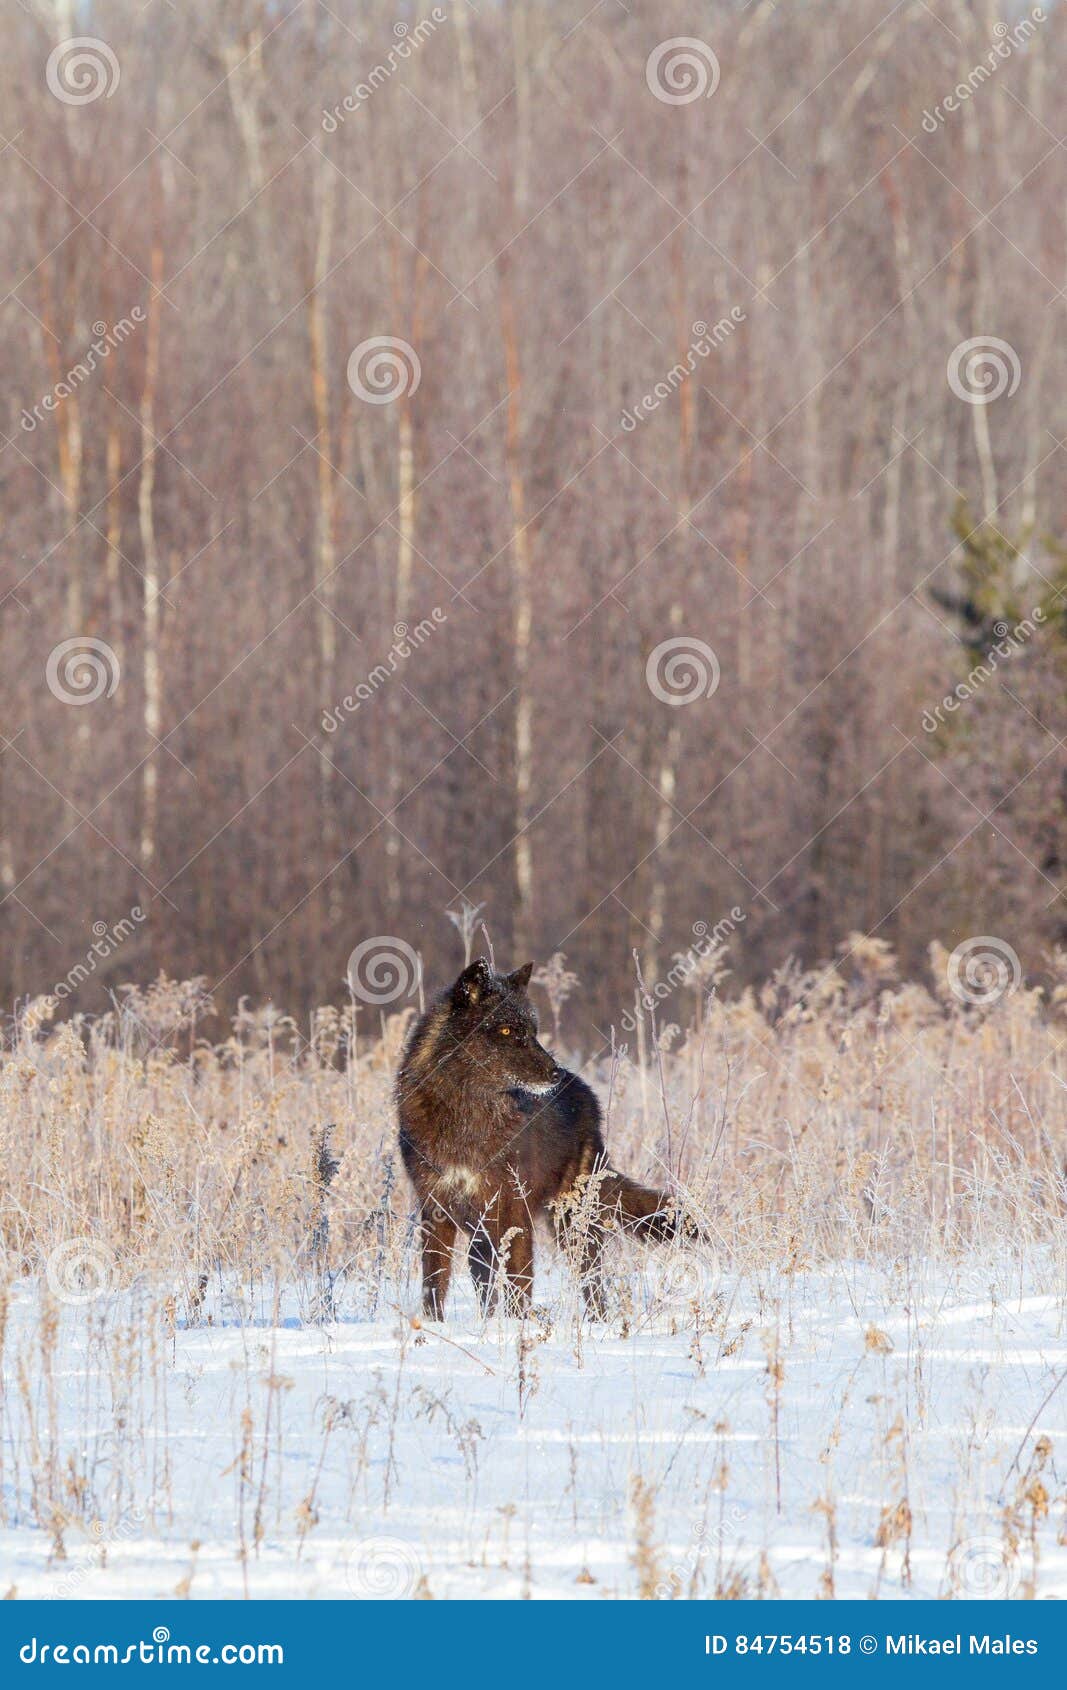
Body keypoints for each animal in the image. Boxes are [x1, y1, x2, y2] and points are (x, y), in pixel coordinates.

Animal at [396, 957, 697, 1318]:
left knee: (593, 1284)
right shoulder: (435, 1209)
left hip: (572, 1223)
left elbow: (519, 1287)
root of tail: (584, 1091)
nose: (555, 1073)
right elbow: (434, 1285)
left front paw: (519, 1327)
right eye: (507, 1030)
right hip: (486, 1235)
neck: (467, 1115)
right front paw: (435, 1326)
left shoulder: (514, 1211)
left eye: (532, 1031)